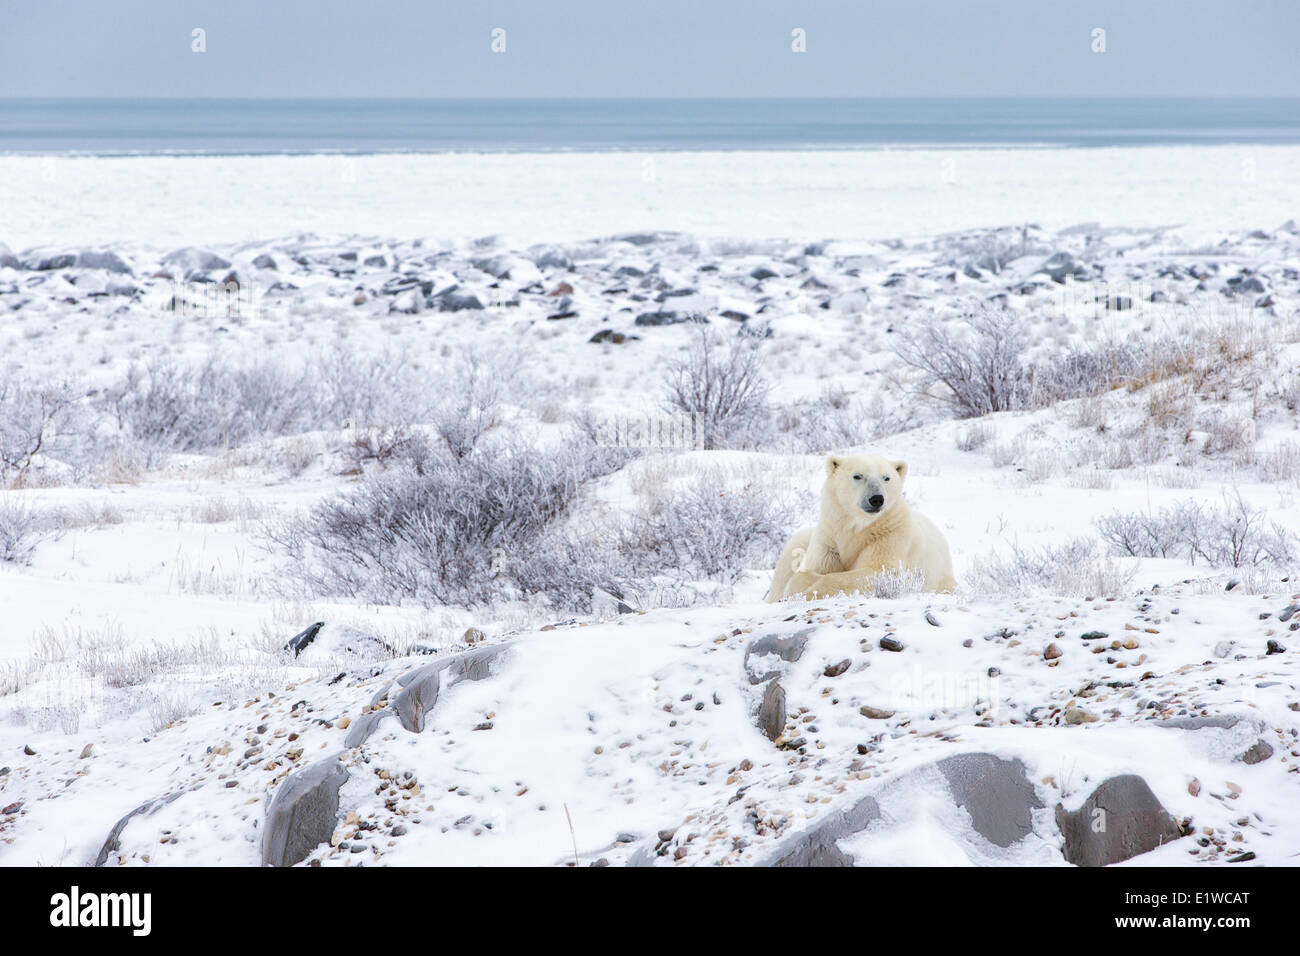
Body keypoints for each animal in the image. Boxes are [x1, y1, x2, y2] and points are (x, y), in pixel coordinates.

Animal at [767, 452, 956, 601]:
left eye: (886, 477)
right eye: (857, 476)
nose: (877, 499)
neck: (859, 527)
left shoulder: (890, 534)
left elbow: (876, 572)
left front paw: (809, 592)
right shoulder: (830, 537)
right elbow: (812, 568)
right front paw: (796, 588)